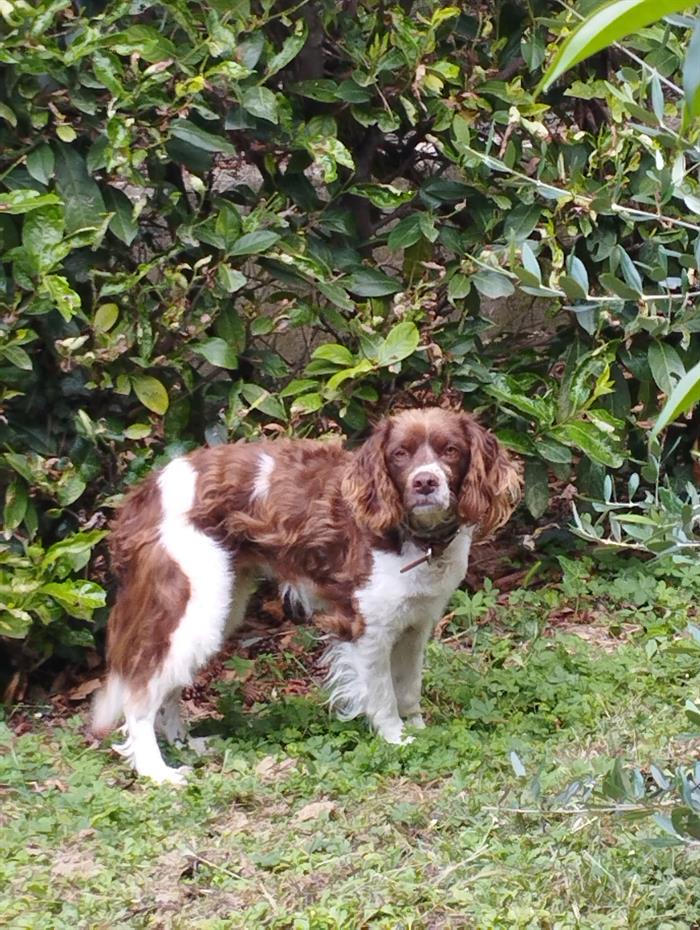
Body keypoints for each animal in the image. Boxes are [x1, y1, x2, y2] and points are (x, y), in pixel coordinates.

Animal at [93, 402, 520, 780]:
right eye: (400, 454)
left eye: (451, 451)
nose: (425, 482)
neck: (414, 537)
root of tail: (140, 496)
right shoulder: (367, 628)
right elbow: (383, 695)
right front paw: (397, 739)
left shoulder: (416, 625)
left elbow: (408, 688)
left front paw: (418, 729)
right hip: (191, 607)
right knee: (140, 694)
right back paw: (157, 772)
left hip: (218, 608)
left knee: (168, 687)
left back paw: (186, 744)